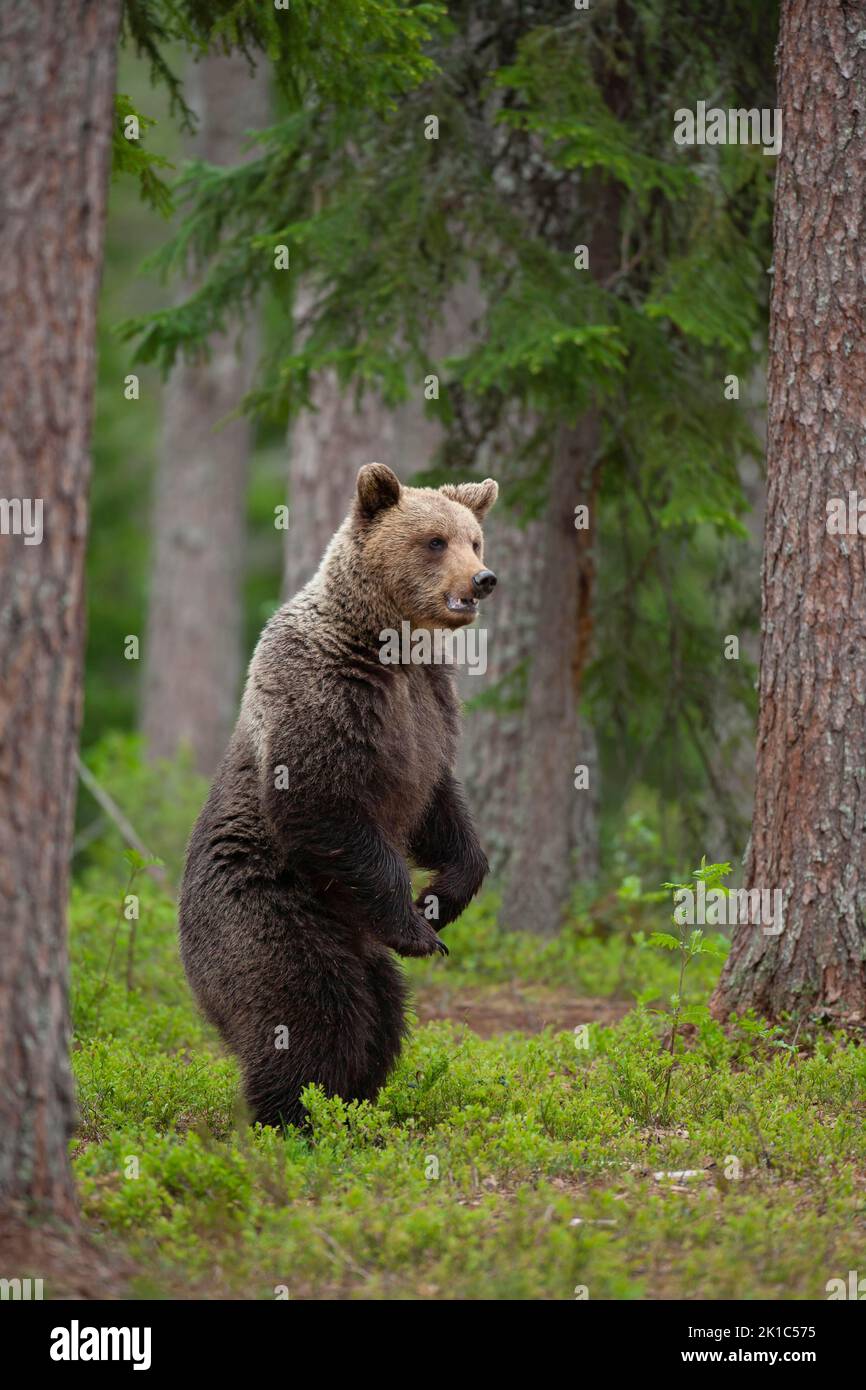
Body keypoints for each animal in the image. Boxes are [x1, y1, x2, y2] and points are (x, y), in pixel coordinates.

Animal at [179, 463, 499, 1129]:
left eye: (474, 539)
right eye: (435, 541)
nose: (483, 580)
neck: (386, 641)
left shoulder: (429, 705)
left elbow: (439, 807)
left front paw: (440, 901)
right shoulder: (325, 691)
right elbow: (321, 801)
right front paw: (418, 927)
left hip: (359, 946)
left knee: (381, 1013)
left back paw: (351, 1106)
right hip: (274, 913)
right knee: (311, 1012)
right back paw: (293, 1114)